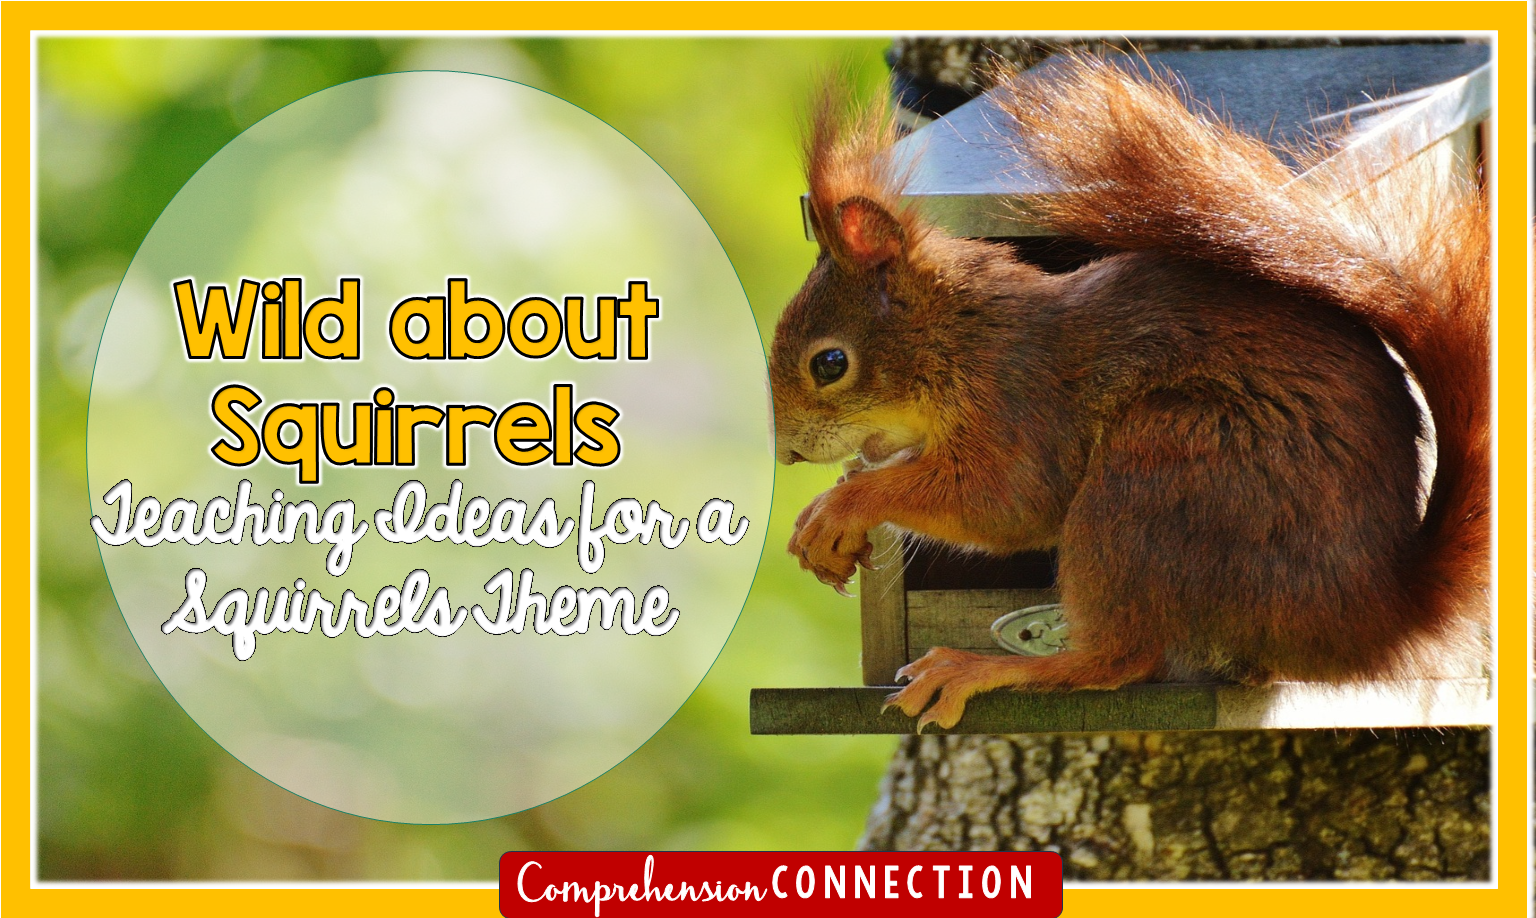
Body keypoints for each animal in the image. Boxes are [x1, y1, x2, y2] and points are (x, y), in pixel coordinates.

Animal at [770, 56, 1490, 730]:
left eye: (829, 363)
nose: (785, 453)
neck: (959, 341)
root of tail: (1378, 616)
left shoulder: (1018, 402)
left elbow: (1005, 503)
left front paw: (846, 505)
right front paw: (831, 513)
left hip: (1161, 472)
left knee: (1119, 659)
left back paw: (978, 668)